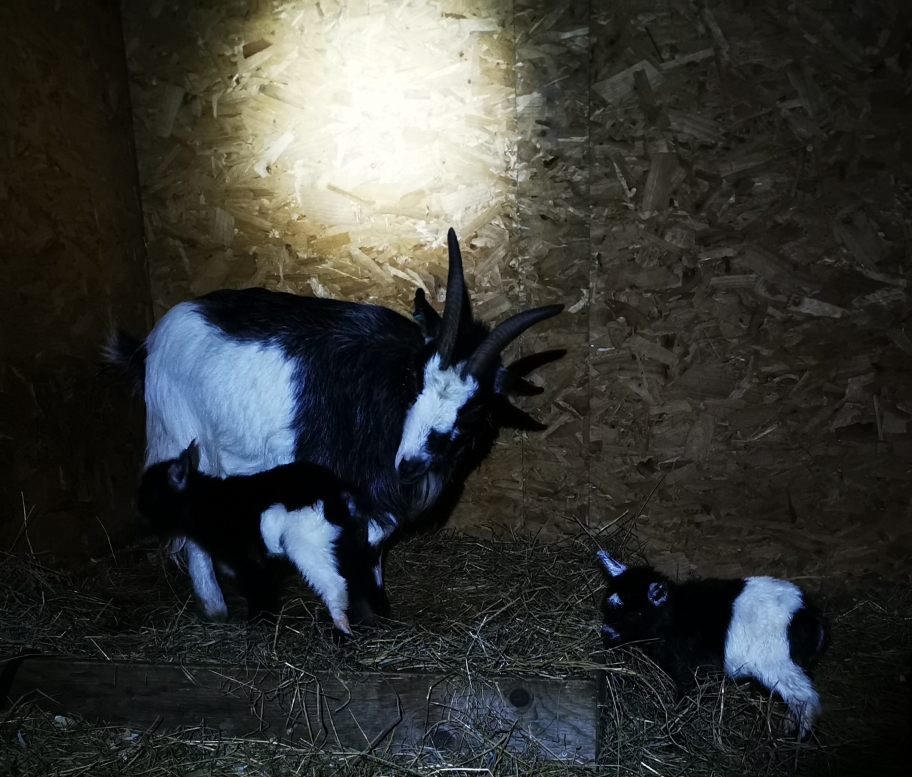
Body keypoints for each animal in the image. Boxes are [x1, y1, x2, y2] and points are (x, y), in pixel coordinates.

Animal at [138, 441, 396, 634]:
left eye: (151, 494)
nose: (139, 510)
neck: (207, 503)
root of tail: (341, 496)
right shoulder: (264, 561)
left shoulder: (248, 559)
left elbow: (257, 590)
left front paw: (257, 627)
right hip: (351, 545)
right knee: (361, 579)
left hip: (308, 544)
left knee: (335, 584)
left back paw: (342, 629)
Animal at [597, 550, 830, 739]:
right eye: (607, 604)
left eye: (634, 614)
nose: (606, 634)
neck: (677, 615)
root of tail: (810, 618)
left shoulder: (695, 668)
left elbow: (690, 691)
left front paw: (677, 717)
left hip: (779, 664)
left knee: (805, 697)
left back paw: (799, 736)